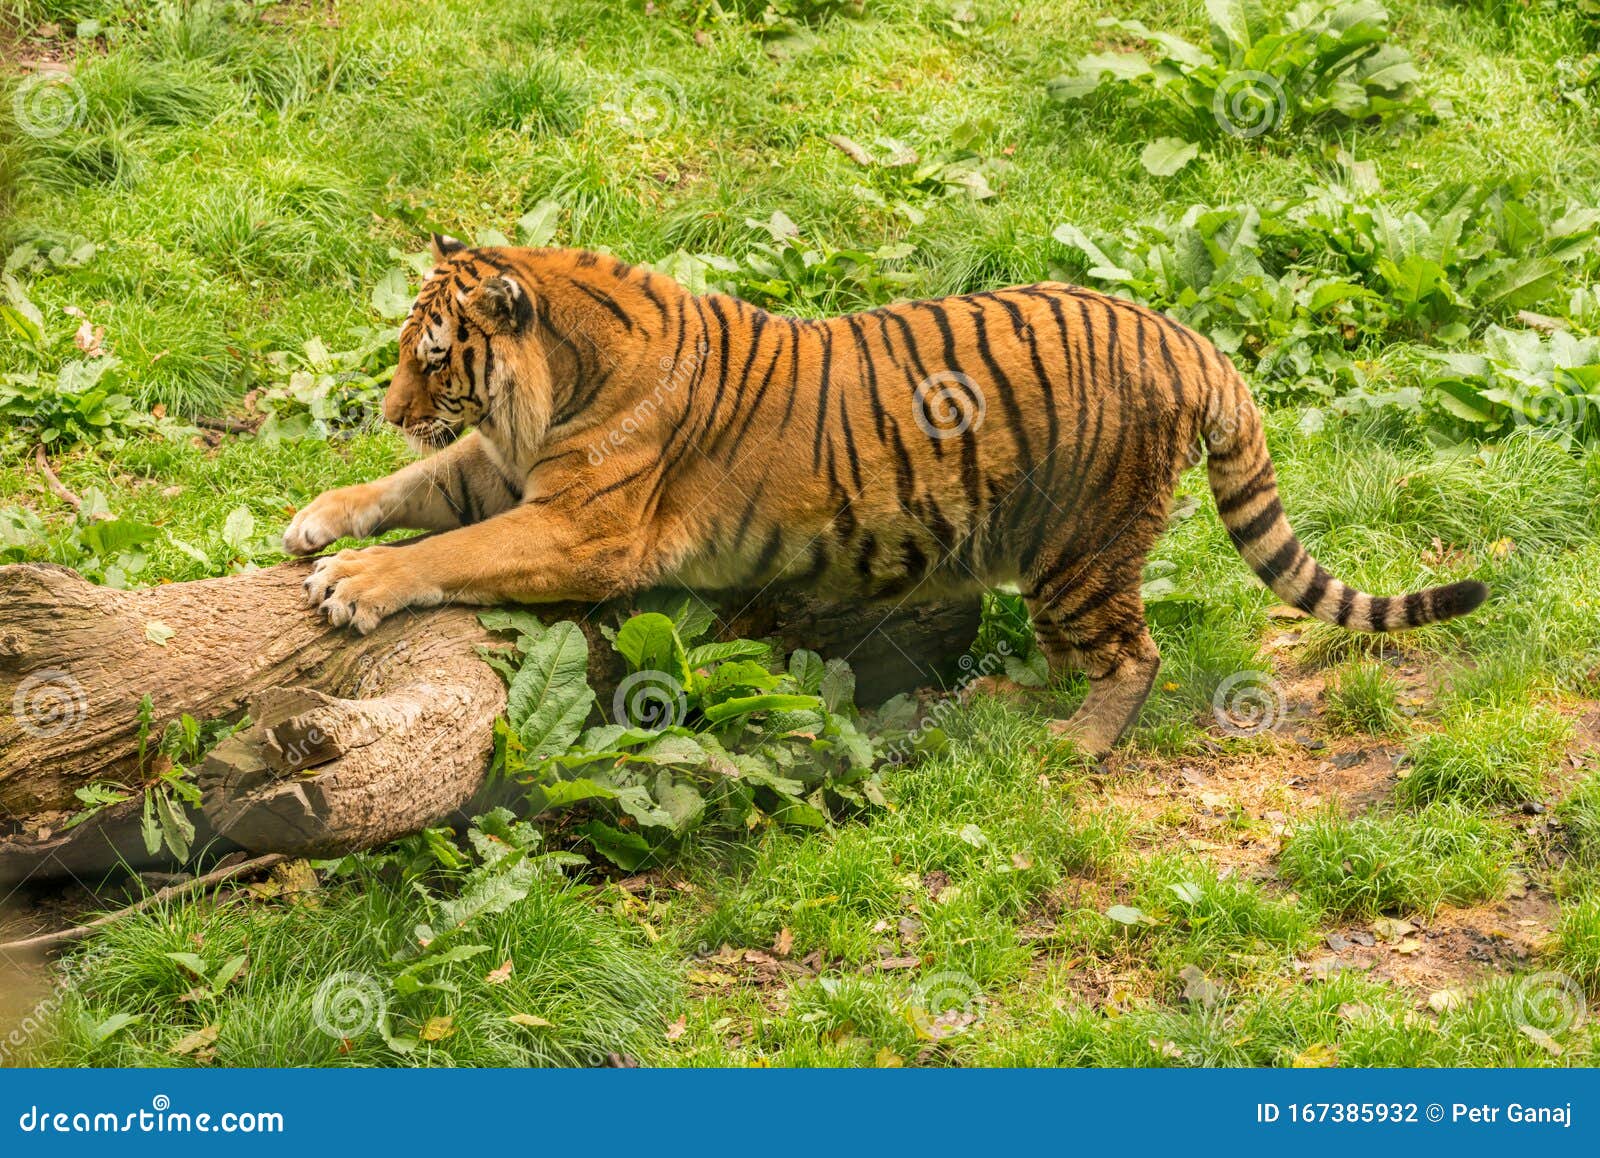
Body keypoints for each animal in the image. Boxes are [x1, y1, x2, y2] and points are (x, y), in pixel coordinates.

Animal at [283, 235, 1488, 756]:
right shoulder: (503, 468)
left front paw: (356, 581)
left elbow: (449, 551)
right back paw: (1008, 703)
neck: (556, 387)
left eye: (432, 356)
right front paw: (319, 521)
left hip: (1083, 548)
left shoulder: (584, 527)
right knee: (1078, 650)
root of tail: (1190, 339)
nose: (388, 403)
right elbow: (413, 485)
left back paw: (1077, 744)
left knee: (1131, 654)